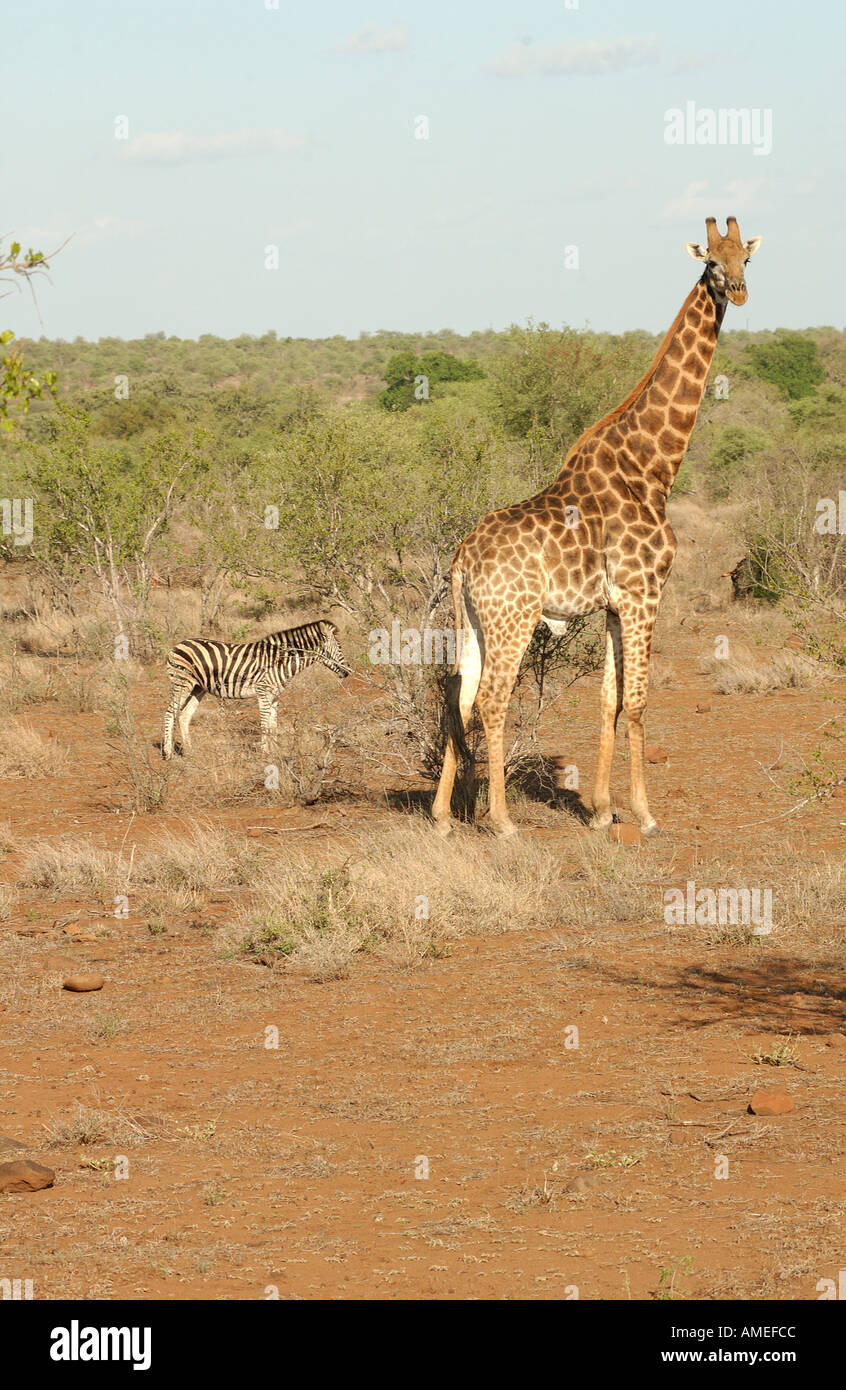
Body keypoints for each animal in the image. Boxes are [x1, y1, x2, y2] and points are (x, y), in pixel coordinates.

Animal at [432, 216, 762, 839]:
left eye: (746, 259)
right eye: (710, 261)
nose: (737, 292)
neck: (652, 467)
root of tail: (462, 554)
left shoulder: (613, 604)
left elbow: (607, 699)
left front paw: (604, 812)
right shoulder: (644, 591)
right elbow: (637, 701)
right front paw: (646, 816)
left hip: (472, 621)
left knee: (458, 695)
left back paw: (441, 816)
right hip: (513, 618)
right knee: (491, 699)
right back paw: (502, 822)